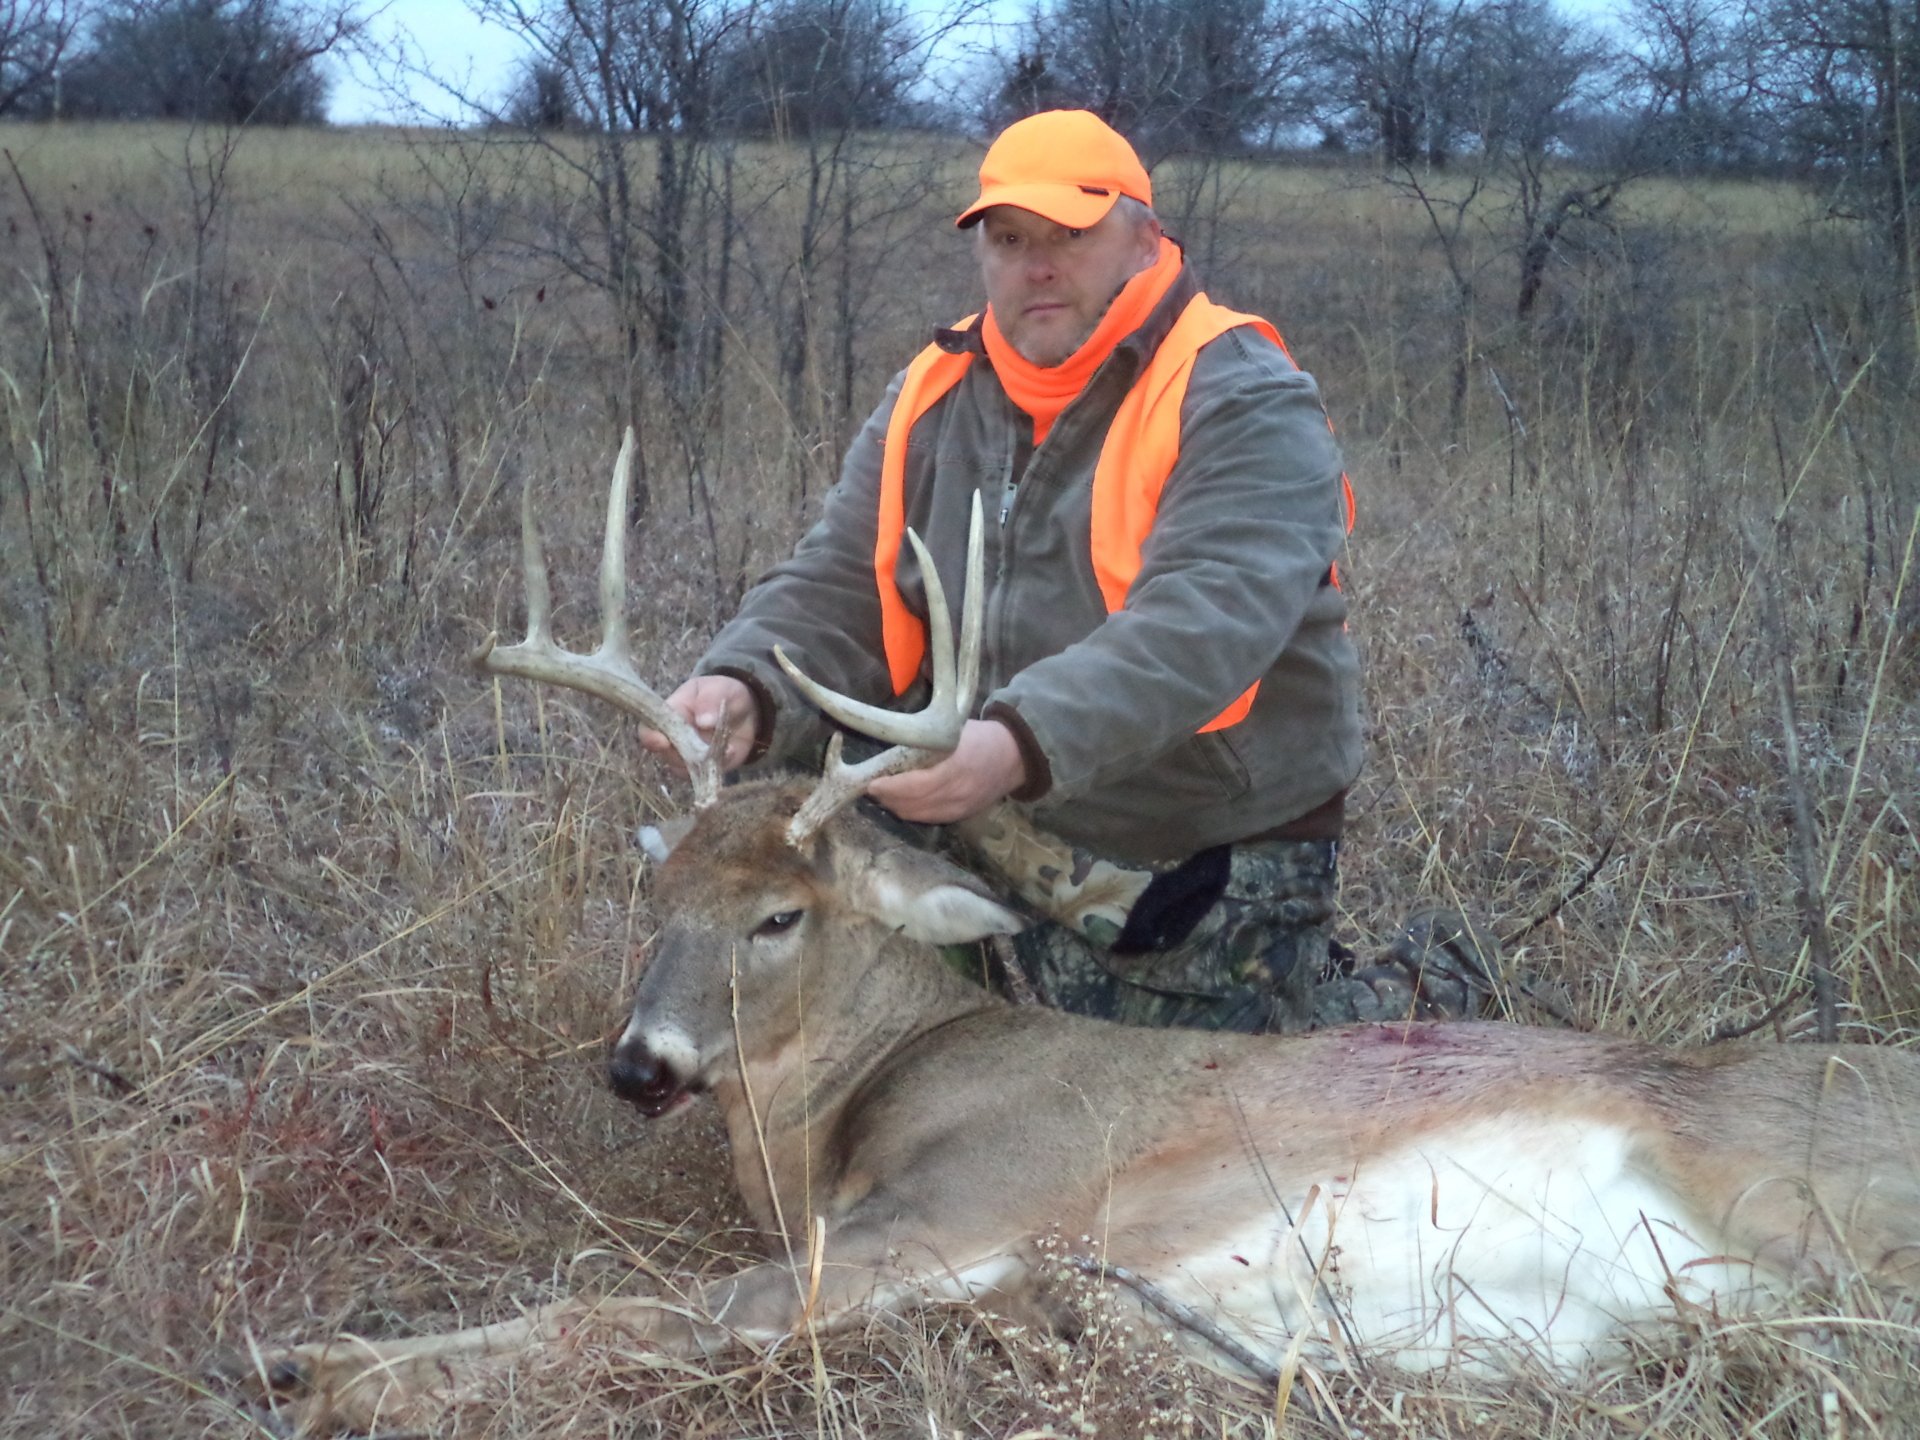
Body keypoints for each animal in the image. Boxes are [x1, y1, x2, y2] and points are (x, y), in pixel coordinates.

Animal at [259, 433, 1920, 1432]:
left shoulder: (970, 1203)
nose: (640, 1064)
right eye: (654, 900)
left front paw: (323, 1365)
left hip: (1797, 1182)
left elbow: (653, 1308)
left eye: (780, 913)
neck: (847, 1117)